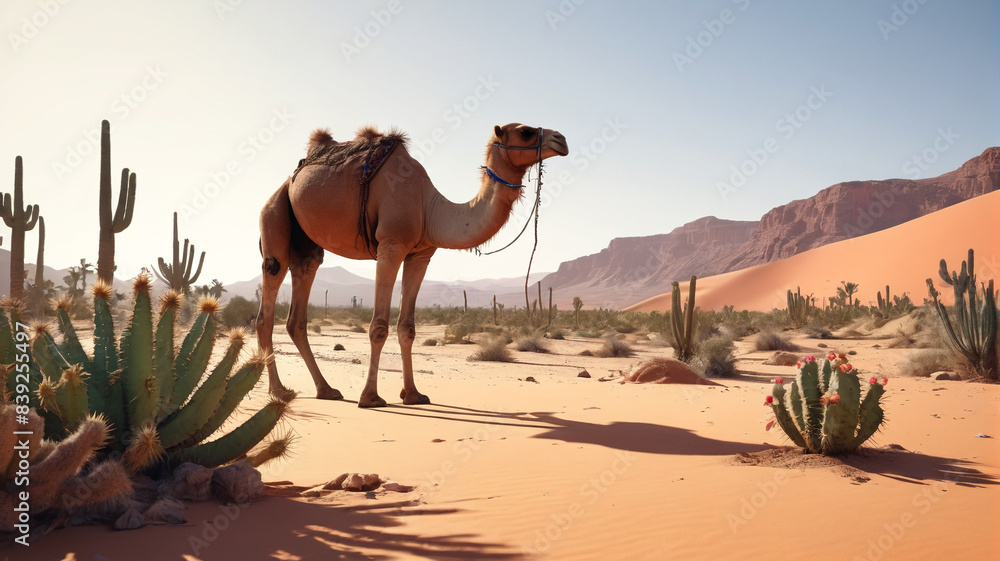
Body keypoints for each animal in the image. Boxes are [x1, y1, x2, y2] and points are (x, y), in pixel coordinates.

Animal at [256, 123, 568, 407]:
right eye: (526, 132)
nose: (562, 139)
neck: (429, 207)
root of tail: (289, 180)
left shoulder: (420, 254)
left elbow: (407, 328)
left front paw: (413, 395)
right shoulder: (391, 245)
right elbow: (379, 326)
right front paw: (370, 398)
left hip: (306, 245)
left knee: (299, 303)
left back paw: (326, 390)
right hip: (273, 214)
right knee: (268, 300)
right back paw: (279, 391)